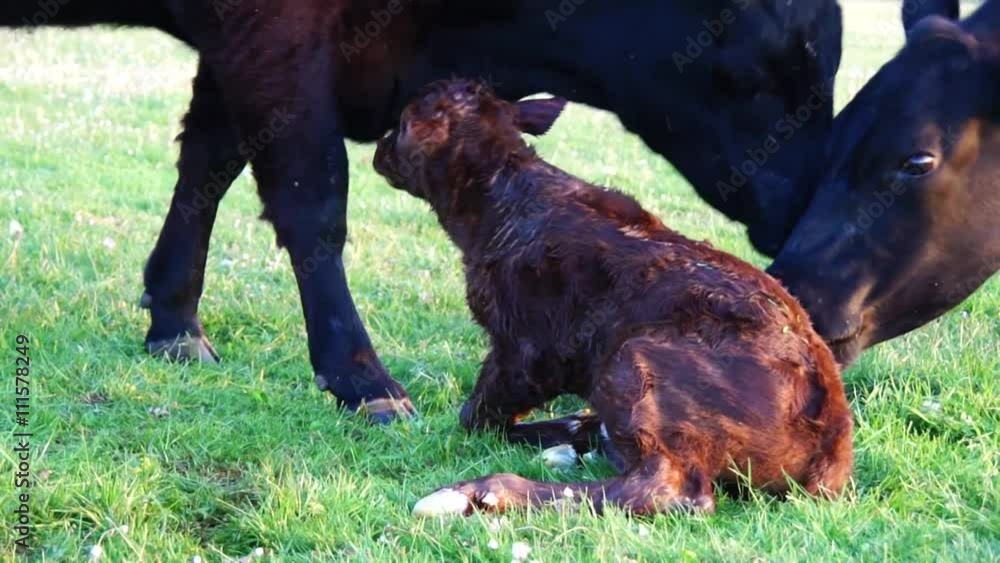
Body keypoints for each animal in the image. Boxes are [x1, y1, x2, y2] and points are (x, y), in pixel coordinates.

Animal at [2, 1, 844, 422]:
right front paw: (361, 377)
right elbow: (311, 199)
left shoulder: (240, 48)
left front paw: (175, 318)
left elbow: (207, 159)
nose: (806, 202)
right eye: (771, 63)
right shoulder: (276, 35)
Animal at [374, 79, 853, 516]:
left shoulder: (525, 351)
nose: (377, 149)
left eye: (403, 122)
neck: (495, 202)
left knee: (671, 490)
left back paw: (480, 491)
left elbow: (474, 416)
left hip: (632, 359)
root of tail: (833, 451)